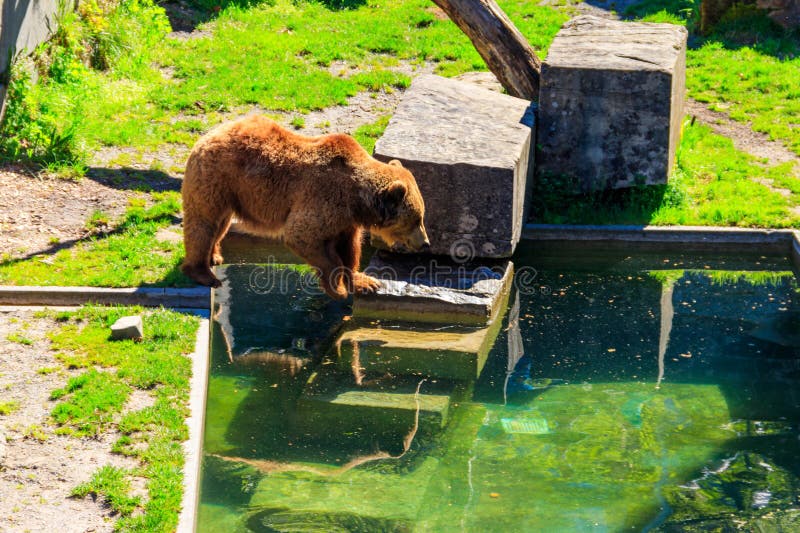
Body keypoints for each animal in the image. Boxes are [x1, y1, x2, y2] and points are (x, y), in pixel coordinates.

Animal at [181, 115, 429, 299]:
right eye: (416, 219)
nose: (425, 243)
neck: (357, 198)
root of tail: (206, 136)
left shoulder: (346, 220)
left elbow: (350, 249)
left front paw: (364, 282)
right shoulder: (324, 199)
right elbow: (302, 236)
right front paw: (337, 289)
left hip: (232, 192)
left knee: (219, 225)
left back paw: (215, 256)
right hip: (216, 177)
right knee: (203, 223)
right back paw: (204, 273)